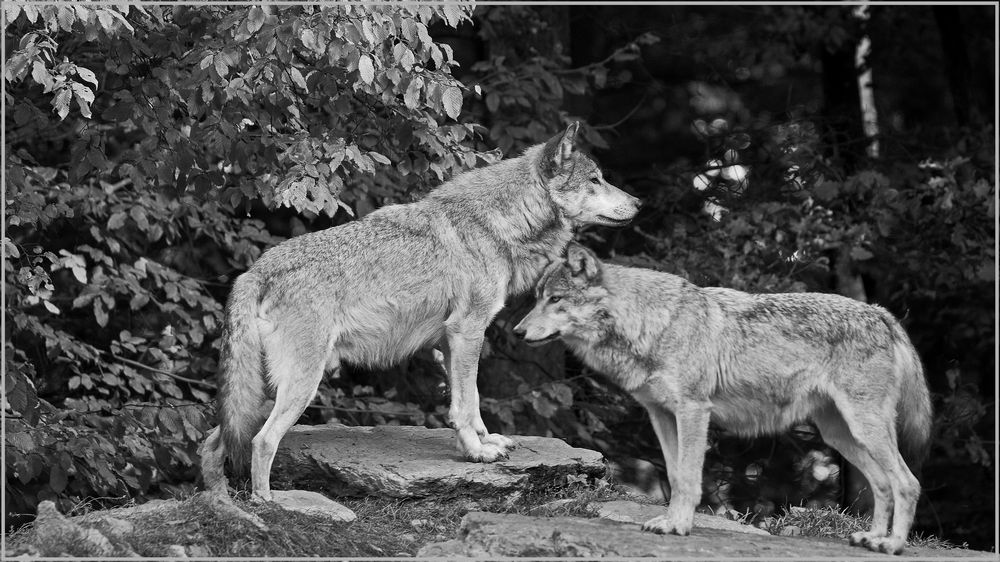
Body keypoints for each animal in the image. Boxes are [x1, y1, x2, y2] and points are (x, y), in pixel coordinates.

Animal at [198, 123, 642, 503]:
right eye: (595, 180)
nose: (639, 202)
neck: (500, 223)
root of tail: (256, 269)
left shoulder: (450, 342)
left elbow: (472, 401)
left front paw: (487, 441)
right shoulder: (466, 331)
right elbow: (464, 404)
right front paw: (477, 453)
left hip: (259, 391)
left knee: (214, 441)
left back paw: (222, 502)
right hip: (302, 383)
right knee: (262, 441)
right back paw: (266, 505)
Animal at [513, 246, 932, 555]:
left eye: (555, 299)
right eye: (536, 299)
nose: (517, 331)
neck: (650, 322)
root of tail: (881, 313)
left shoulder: (693, 410)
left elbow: (688, 479)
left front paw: (679, 526)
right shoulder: (661, 415)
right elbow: (676, 475)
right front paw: (671, 521)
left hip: (863, 427)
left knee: (907, 482)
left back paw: (893, 545)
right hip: (839, 435)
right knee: (882, 484)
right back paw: (871, 539)